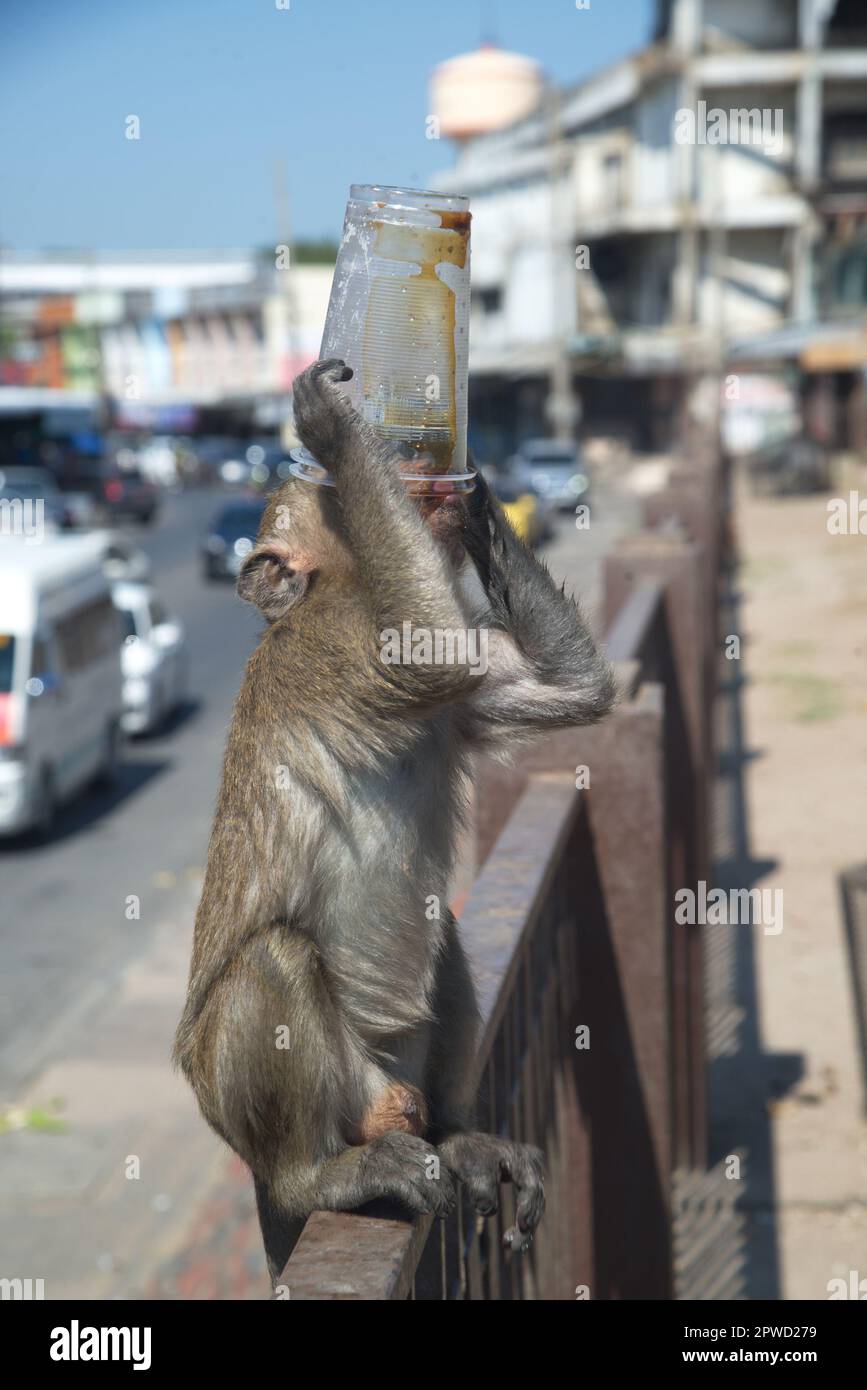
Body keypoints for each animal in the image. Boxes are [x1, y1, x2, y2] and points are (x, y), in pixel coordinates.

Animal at [173, 359, 616, 1284]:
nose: (415, 483)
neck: (337, 587)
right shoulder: (336, 639)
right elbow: (436, 653)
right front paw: (336, 425)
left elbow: (569, 690)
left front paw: (472, 490)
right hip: (278, 1096)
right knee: (273, 958)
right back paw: (315, 1178)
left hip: (397, 1068)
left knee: (438, 930)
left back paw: (455, 1136)